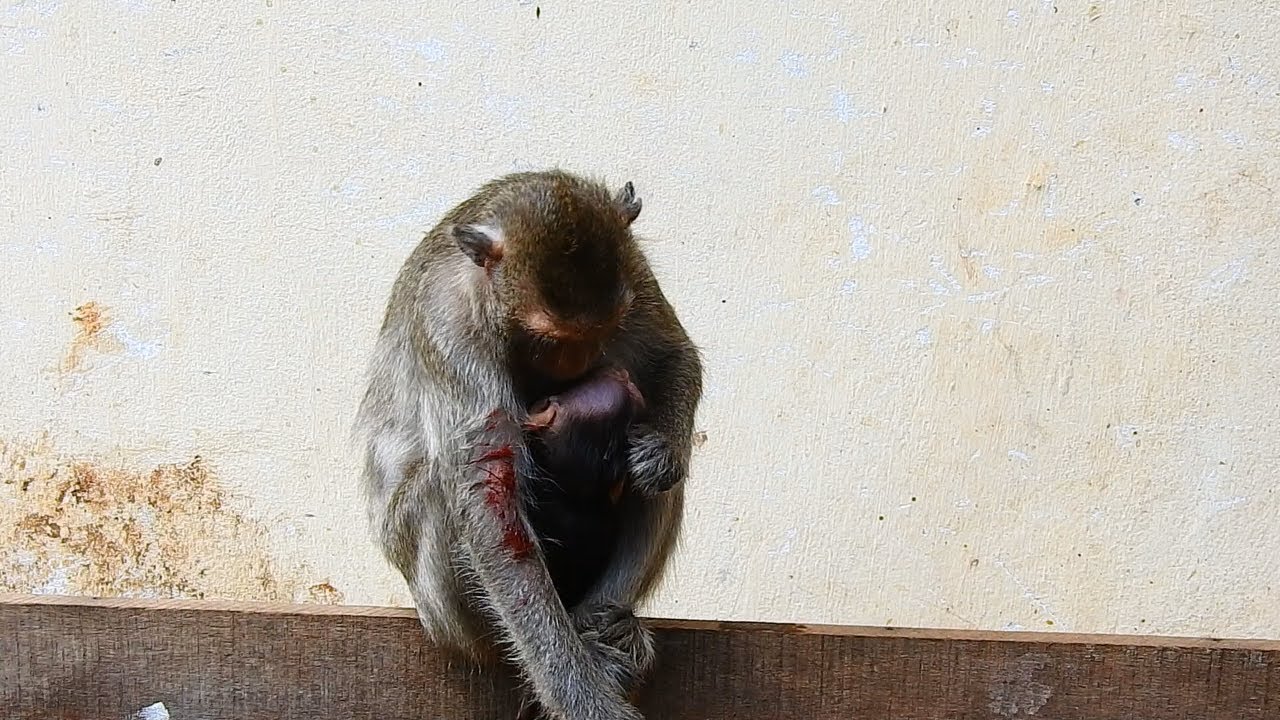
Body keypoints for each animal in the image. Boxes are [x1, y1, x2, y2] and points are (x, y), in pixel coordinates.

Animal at [354, 169, 703, 720]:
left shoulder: (636, 275)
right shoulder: (453, 332)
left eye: (603, 328)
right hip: (450, 618)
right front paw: (580, 697)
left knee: (659, 481)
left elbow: (675, 355)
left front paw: (660, 452)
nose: (578, 363)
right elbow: (491, 503)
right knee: (438, 490)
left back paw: (607, 625)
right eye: (550, 338)